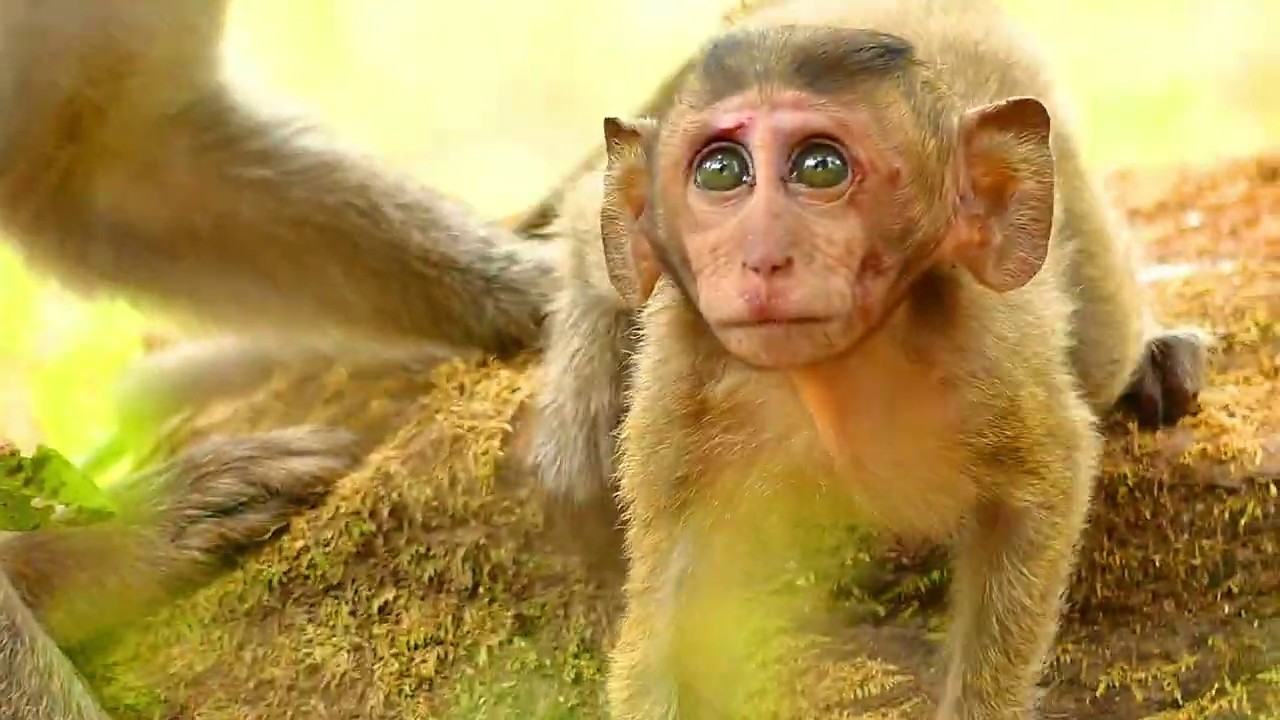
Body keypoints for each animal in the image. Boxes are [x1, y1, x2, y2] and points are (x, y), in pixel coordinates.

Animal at [587, 1, 1210, 717]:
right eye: (720, 172)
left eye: (821, 167)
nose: (763, 257)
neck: (831, 374)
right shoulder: (680, 388)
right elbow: (668, 612)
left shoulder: (992, 351)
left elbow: (1040, 491)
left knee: (1106, 340)